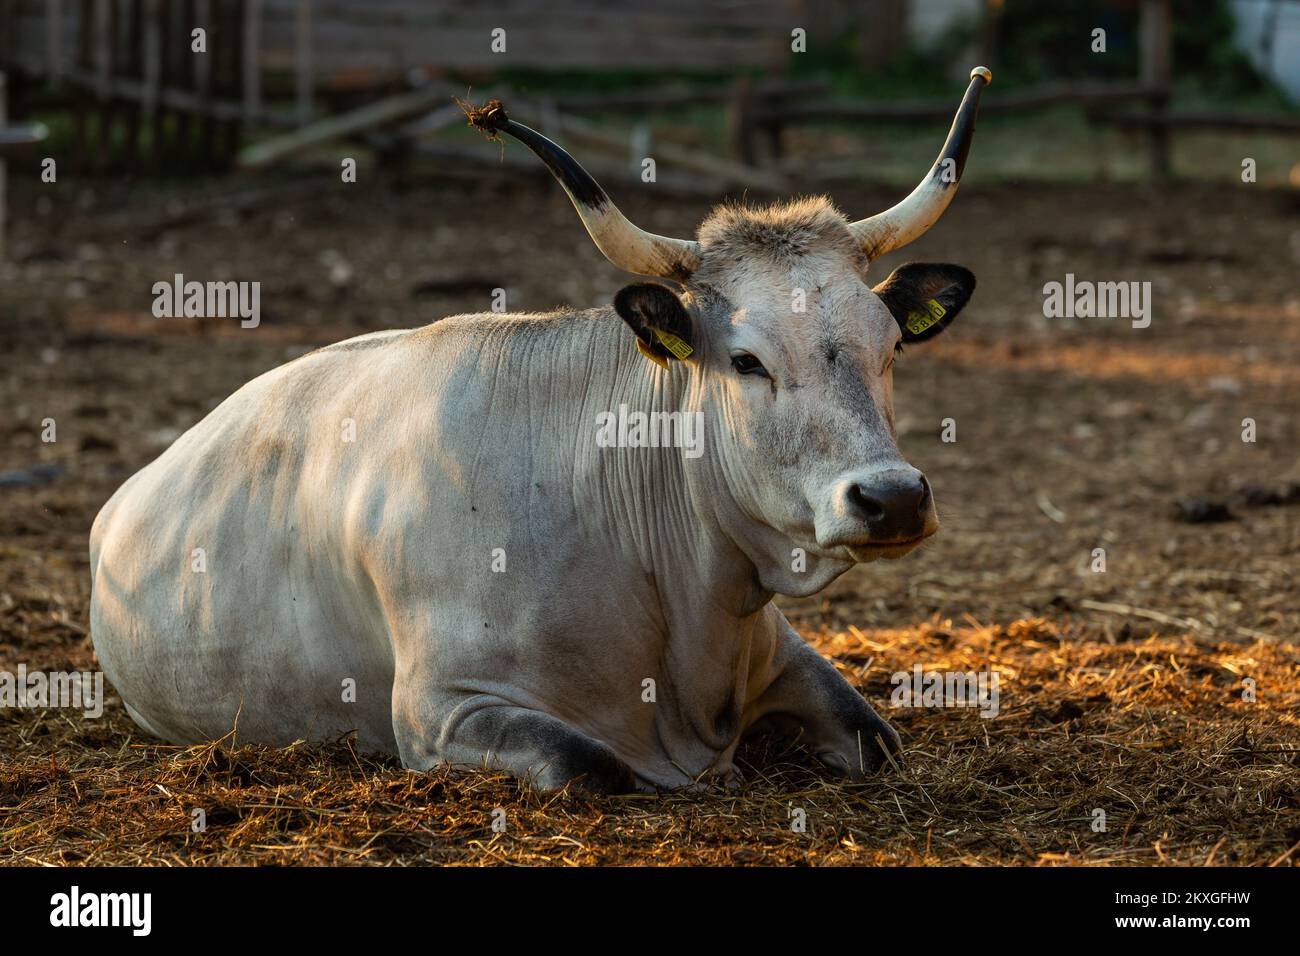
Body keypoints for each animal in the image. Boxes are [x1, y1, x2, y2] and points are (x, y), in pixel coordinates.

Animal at [89, 68, 992, 793]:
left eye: (890, 346)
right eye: (746, 361)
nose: (892, 498)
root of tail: (123, 502)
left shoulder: (782, 648)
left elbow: (875, 736)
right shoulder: (442, 711)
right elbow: (588, 765)